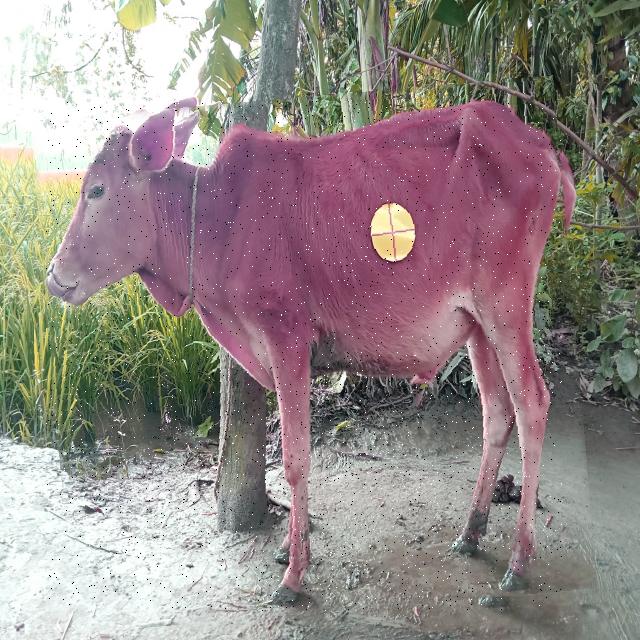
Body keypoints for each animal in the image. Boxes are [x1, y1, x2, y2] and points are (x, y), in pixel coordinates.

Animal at [47, 97, 576, 604]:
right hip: (477, 324)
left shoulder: (287, 339)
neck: (216, 221)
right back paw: (471, 533)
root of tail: (540, 143)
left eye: (96, 190)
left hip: (506, 304)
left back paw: (517, 562)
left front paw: (295, 574)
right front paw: (288, 548)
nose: (53, 276)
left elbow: (294, 459)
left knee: (532, 404)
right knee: (497, 412)